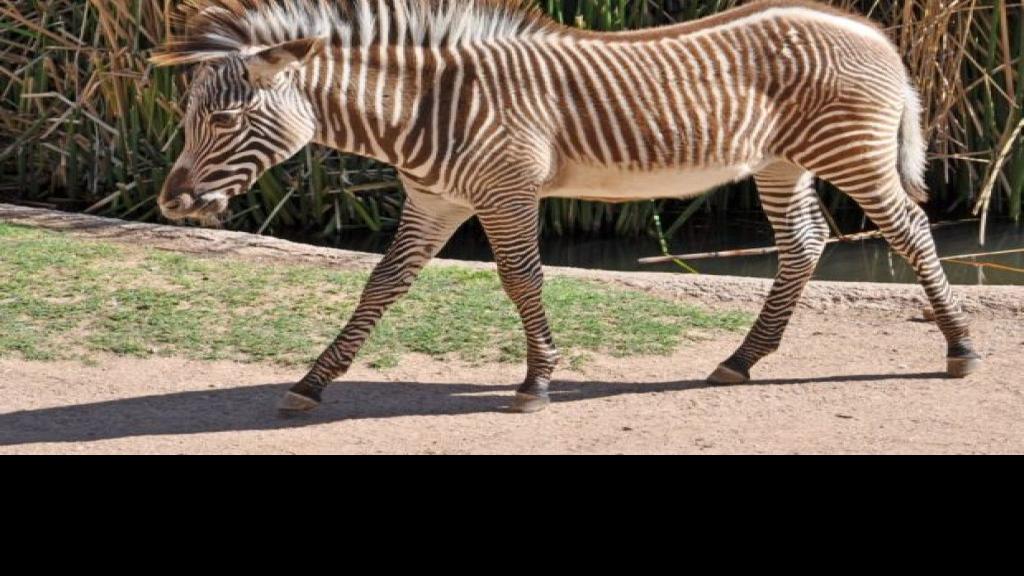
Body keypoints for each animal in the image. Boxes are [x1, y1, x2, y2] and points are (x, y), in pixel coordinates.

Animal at [152, 0, 982, 415]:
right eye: (189, 117)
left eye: (225, 119)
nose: (170, 202)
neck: (424, 105)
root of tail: (869, 27)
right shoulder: (434, 201)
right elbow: (381, 286)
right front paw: (313, 382)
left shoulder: (505, 190)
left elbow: (521, 279)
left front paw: (537, 382)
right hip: (781, 161)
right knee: (805, 244)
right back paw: (741, 361)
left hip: (850, 153)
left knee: (910, 232)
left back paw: (961, 349)